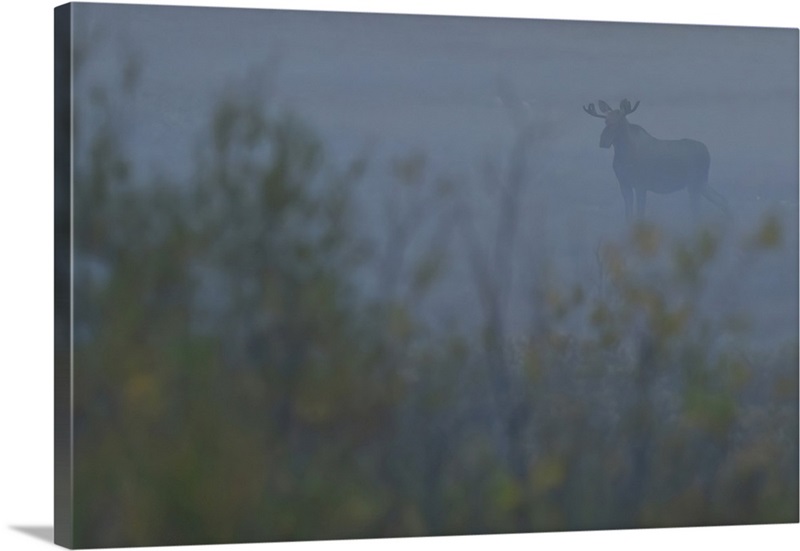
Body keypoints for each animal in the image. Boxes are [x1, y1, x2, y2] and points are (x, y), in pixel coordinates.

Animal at [584, 99, 729, 221]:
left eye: (619, 122)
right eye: (606, 121)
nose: (603, 141)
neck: (623, 154)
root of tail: (708, 153)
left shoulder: (641, 184)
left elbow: (639, 214)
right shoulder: (624, 183)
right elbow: (628, 215)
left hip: (694, 182)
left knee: (698, 209)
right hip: (701, 182)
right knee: (721, 200)